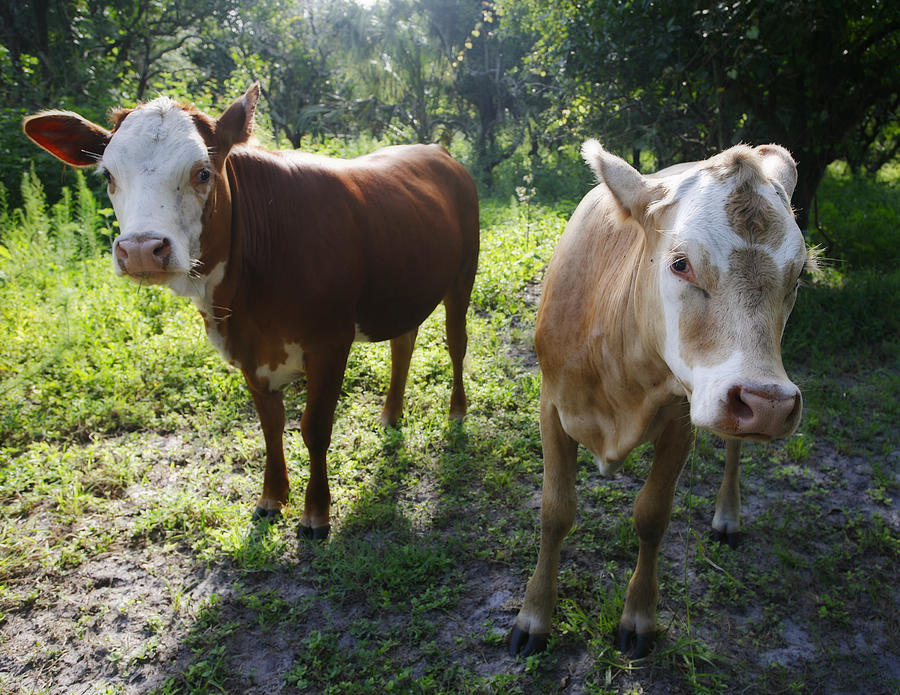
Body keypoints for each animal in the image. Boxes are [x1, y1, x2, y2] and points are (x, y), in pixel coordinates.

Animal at [23, 83, 479, 540]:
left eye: (203, 173)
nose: (139, 250)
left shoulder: (331, 342)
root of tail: (436, 151)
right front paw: (272, 498)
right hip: (404, 286)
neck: (248, 298)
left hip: (462, 273)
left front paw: (316, 514)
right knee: (404, 342)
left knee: (456, 342)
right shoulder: (246, 350)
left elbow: (314, 427)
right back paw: (390, 415)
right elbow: (271, 426)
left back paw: (457, 412)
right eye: (108, 176)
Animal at [508, 140, 813, 659]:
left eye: (798, 276)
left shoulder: (681, 421)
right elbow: (555, 511)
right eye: (680, 263)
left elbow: (652, 515)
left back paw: (727, 517)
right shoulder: (551, 404)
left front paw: (638, 617)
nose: (768, 404)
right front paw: (534, 617)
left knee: (734, 447)